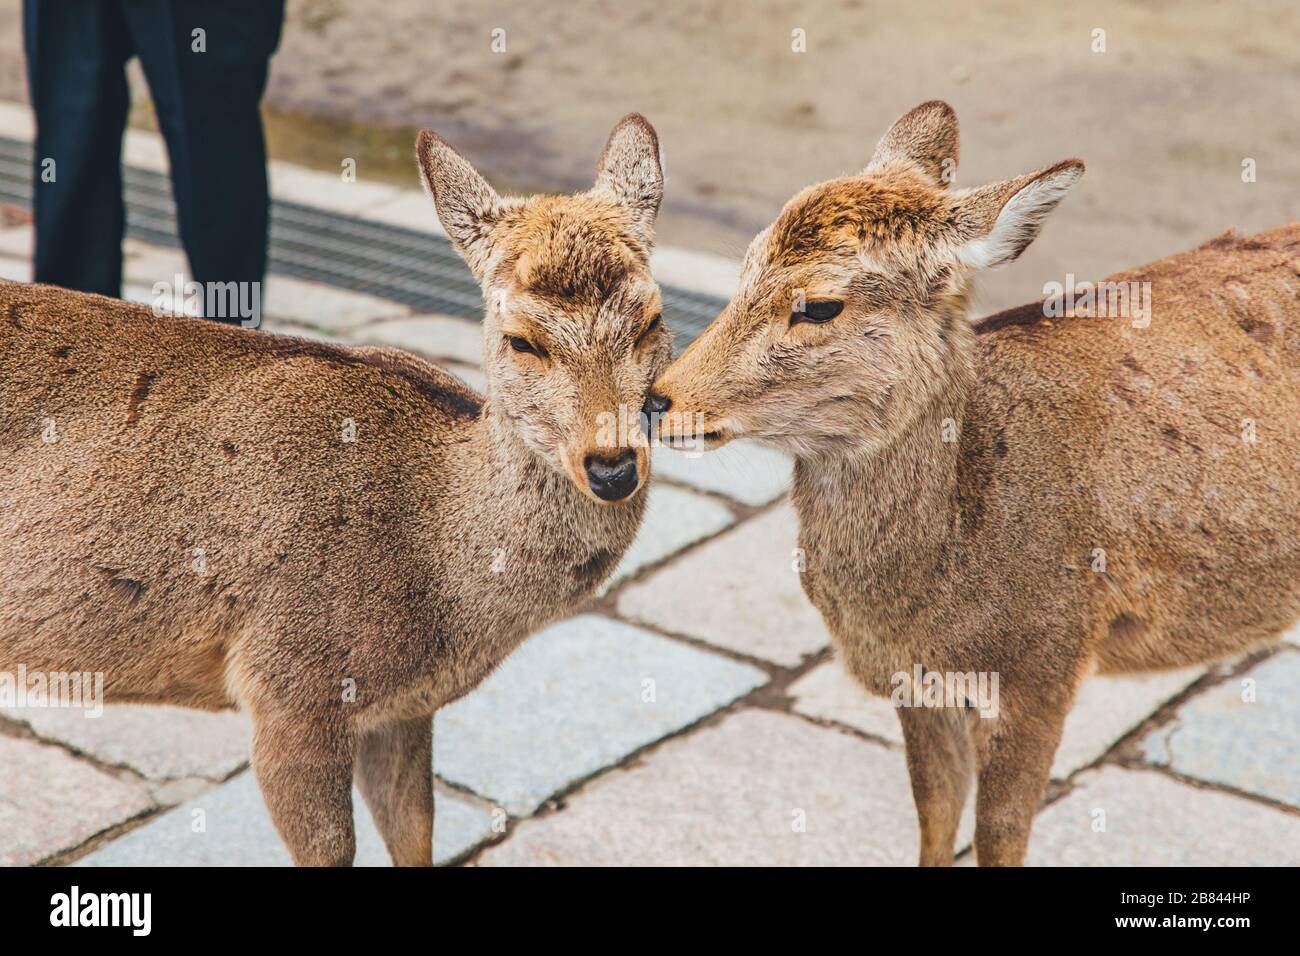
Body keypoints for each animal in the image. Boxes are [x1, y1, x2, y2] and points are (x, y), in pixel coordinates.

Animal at [0, 114, 673, 866]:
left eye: (651, 319)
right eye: (522, 339)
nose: (612, 466)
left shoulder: (403, 710)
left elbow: (416, 833)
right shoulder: (287, 688)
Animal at [648, 101, 1300, 866]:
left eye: (819, 306)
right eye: (745, 264)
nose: (659, 399)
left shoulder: (1048, 658)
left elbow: (999, 830)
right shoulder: (919, 682)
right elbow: (933, 811)